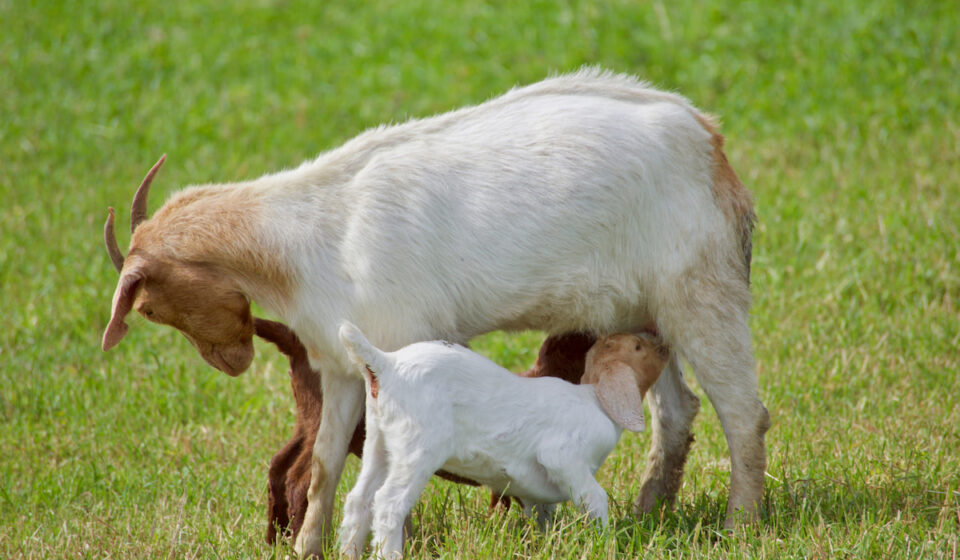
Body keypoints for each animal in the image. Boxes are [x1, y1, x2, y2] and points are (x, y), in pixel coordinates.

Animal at [337, 322, 668, 559]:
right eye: (637, 347)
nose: (664, 344)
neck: (595, 399)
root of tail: (386, 363)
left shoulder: (539, 493)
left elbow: (542, 513)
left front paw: (545, 542)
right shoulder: (563, 458)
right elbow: (596, 498)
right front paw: (605, 541)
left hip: (379, 442)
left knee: (359, 500)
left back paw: (348, 552)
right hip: (417, 448)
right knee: (389, 503)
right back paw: (390, 553)